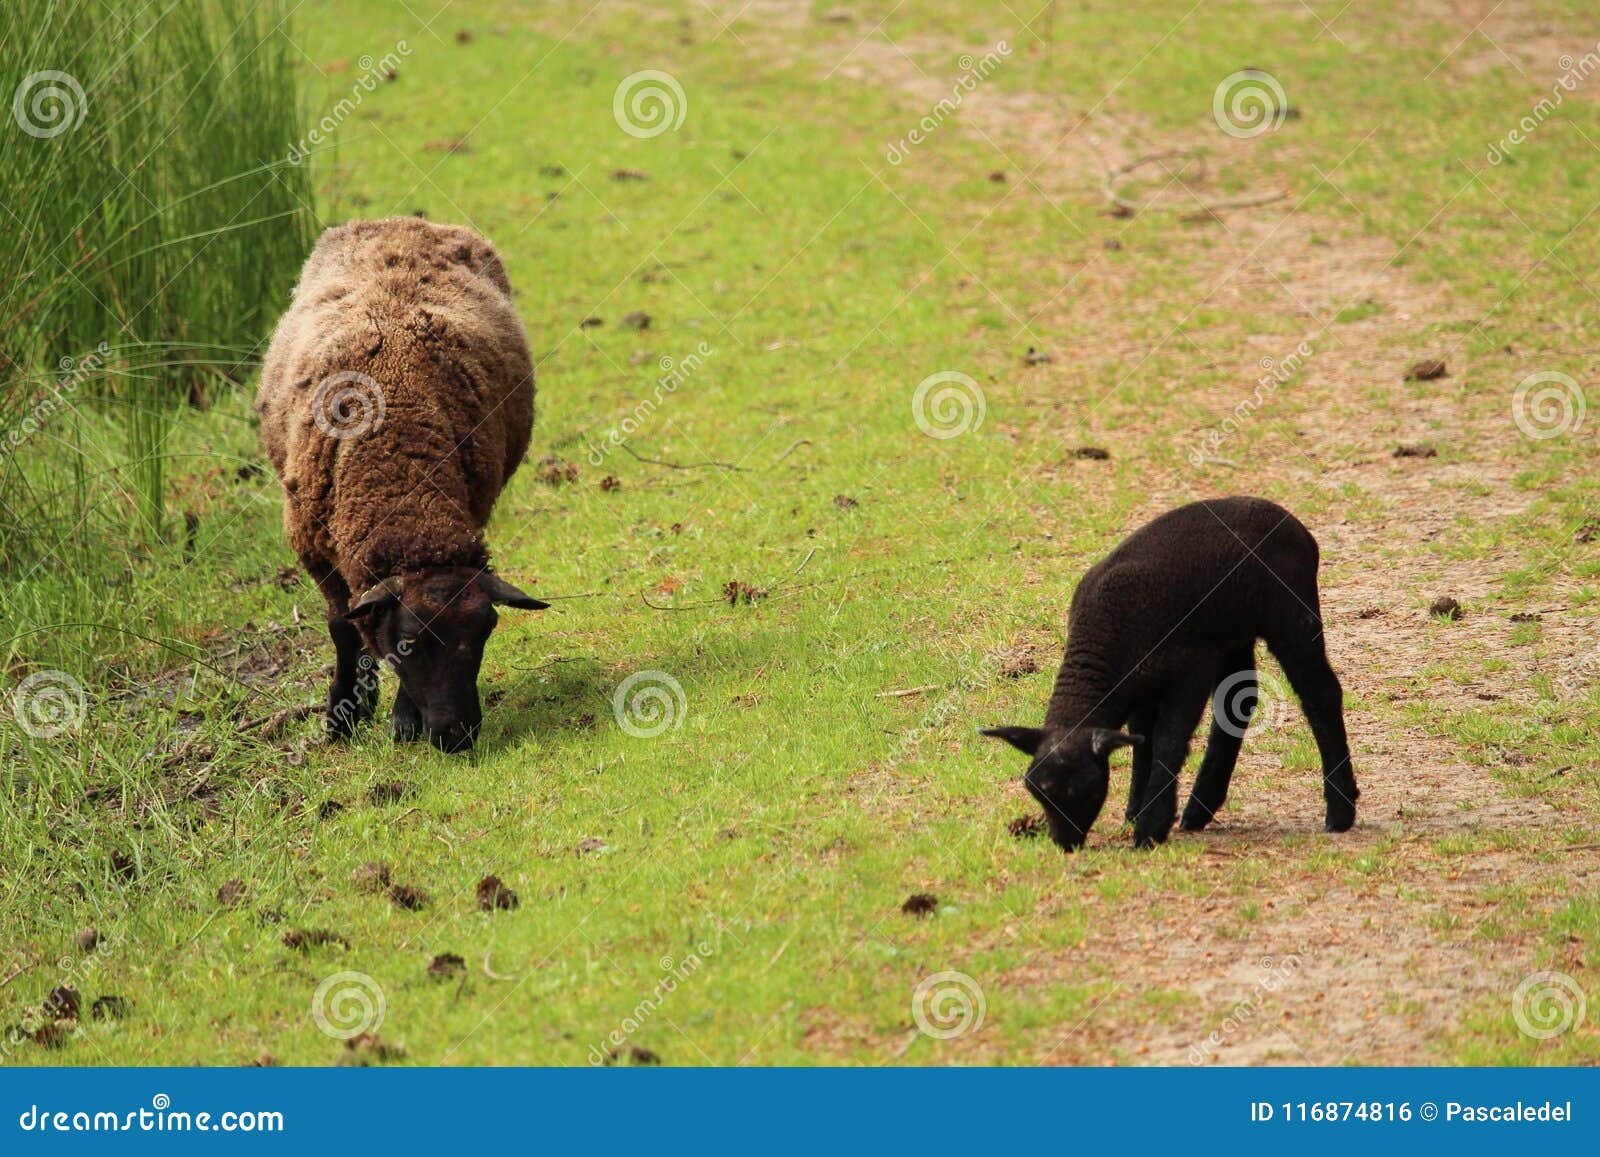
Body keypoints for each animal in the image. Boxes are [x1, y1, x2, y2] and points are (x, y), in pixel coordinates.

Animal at [256, 217, 546, 753]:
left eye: (487, 631)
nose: (457, 734)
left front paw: (403, 719)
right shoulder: (312, 543)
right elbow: (343, 627)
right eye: (409, 641)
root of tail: (407, 221)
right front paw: (343, 714)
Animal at [983, 496, 1358, 850]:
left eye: (1087, 790)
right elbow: (1141, 742)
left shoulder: (1190, 671)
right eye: (1036, 791)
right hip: (1230, 631)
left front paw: (1150, 827)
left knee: (1319, 693)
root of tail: (1296, 526)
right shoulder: (1140, 687)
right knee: (1240, 701)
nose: (1065, 844)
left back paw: (1340, 810)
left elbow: (1169, 742)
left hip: (1291, 613)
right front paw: (1136, 809)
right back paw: (1199, 809)